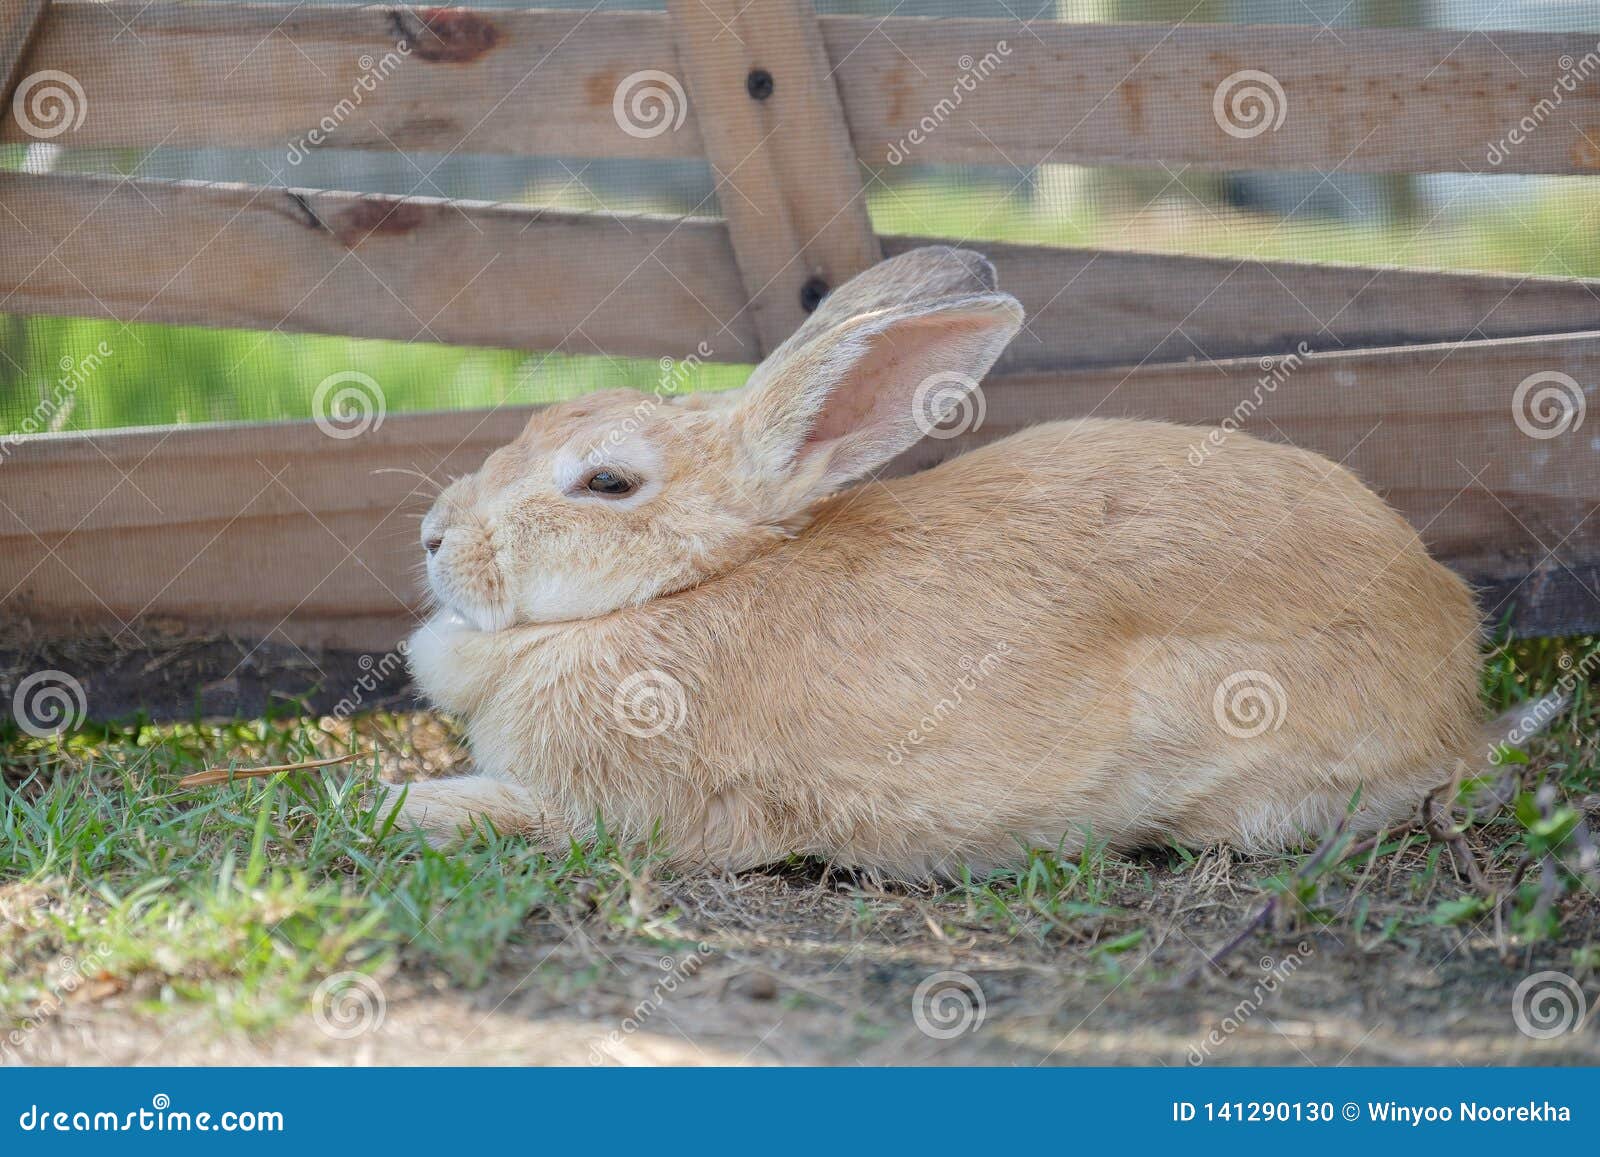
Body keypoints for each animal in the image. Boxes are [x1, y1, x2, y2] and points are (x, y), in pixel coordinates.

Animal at [387, 245, 1487, 877]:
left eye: (607, 481)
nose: (435, 536)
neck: (697, 583)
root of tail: (1451, 656)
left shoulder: (640, 814)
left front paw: (411, 804)